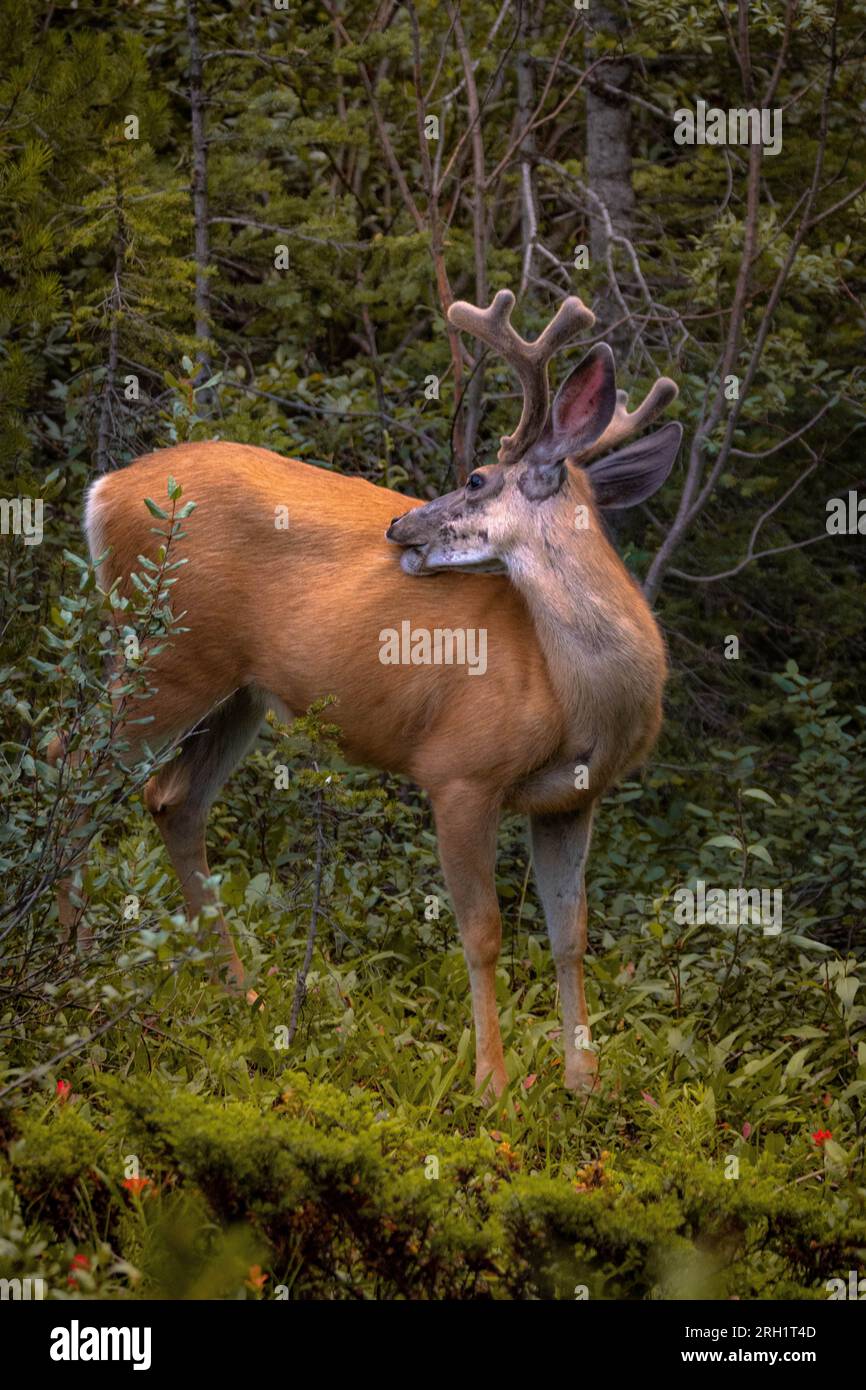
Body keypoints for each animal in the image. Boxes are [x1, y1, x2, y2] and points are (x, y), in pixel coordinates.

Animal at [52, 290, 681, 1096]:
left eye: (474, 479)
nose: (398, 524)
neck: (576, 697)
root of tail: (102, 493)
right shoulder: (460, 771)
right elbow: (483, 934)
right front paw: (493, 1086)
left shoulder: (573, 798)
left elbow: (570, 933)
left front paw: (582, 1083)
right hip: (164, 654)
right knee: (69, 760)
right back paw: (74, 959)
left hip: (236, 691)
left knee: (172, 800)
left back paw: (241, 992)